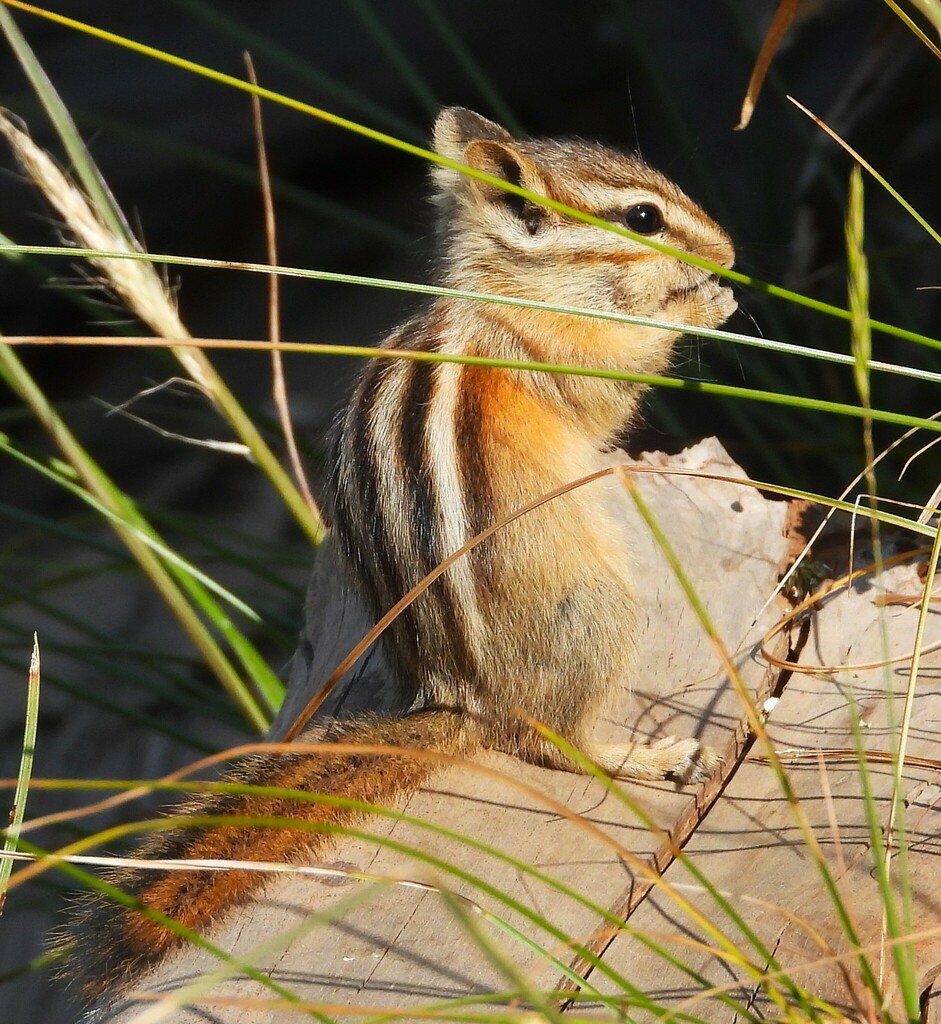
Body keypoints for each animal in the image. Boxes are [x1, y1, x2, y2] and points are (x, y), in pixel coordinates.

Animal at [57, 107, 737, 1004]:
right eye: (643, 219)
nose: (728, 254)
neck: (508, 290)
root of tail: (459, 699)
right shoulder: (559, 354)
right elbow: (613, 382)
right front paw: (704, 305)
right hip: (597, 613)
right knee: (551, 743)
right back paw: (647, 756)